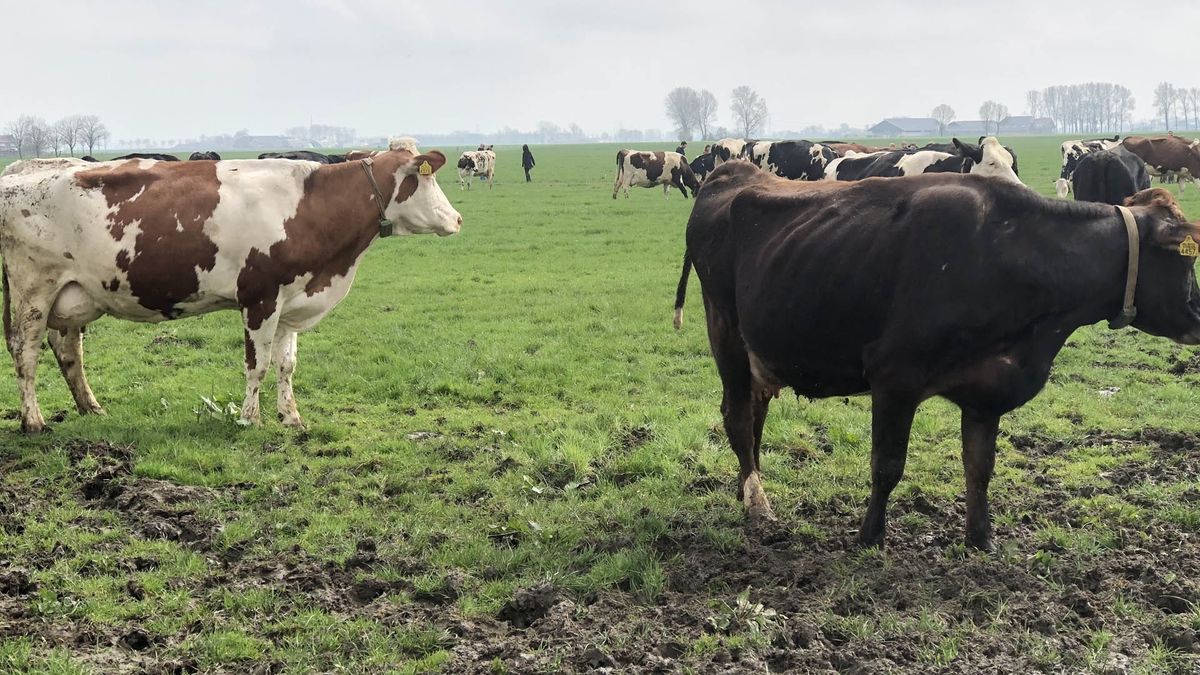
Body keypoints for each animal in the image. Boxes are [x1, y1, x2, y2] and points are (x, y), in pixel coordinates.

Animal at [0, 137, 462, 434]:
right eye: (425, 178)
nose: (457, 219)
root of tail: (25, 166)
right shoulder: (260, 296)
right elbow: (257, 364)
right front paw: (249, 419)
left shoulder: (292, 299)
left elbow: (287, 364)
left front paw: (291, 418)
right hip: (33, 288)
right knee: (26, 350)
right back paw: (33, 421)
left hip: (75, 293)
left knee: (68, 351)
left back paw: (91, 409)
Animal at [672, 160, 1200, 550]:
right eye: (1186, 258)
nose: (1198, 313)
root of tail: (732, 171)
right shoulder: (893, 377)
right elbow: (887, 465)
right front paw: (870, 536)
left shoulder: (986, 389)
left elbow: (980, 467)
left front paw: (981, 539)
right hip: (726, 332)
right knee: (738, 417)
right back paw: (758, 506)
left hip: (763, 349)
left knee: (755, 414)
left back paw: (749, 488)